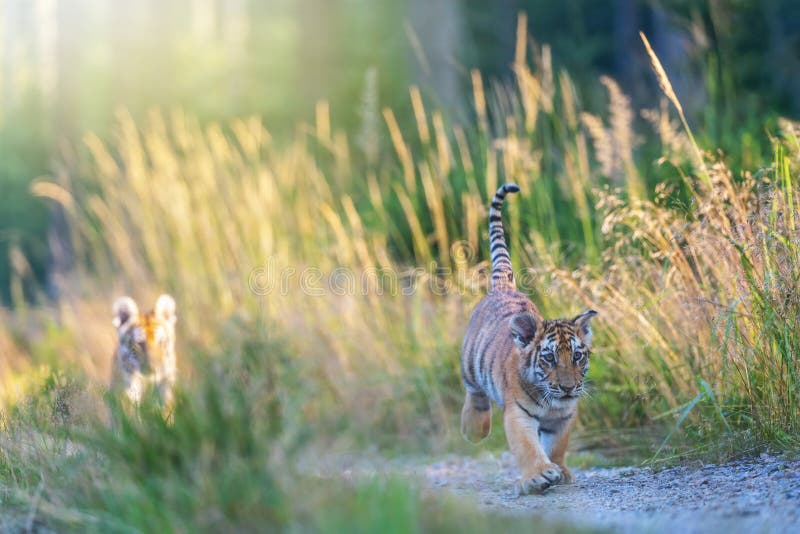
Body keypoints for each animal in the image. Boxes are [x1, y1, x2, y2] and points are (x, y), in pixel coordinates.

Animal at [460, 184, 597, 496]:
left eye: (577, 356)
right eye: (549, 358)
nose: (568, 388)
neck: (554, 403)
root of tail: (504, 286)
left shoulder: (564, 418)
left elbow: (556, 446)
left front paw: (561, 471)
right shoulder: (518, 414)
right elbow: (527, 448)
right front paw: (538, 476)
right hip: (470, 364)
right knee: (474, 393)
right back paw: (474, 429)